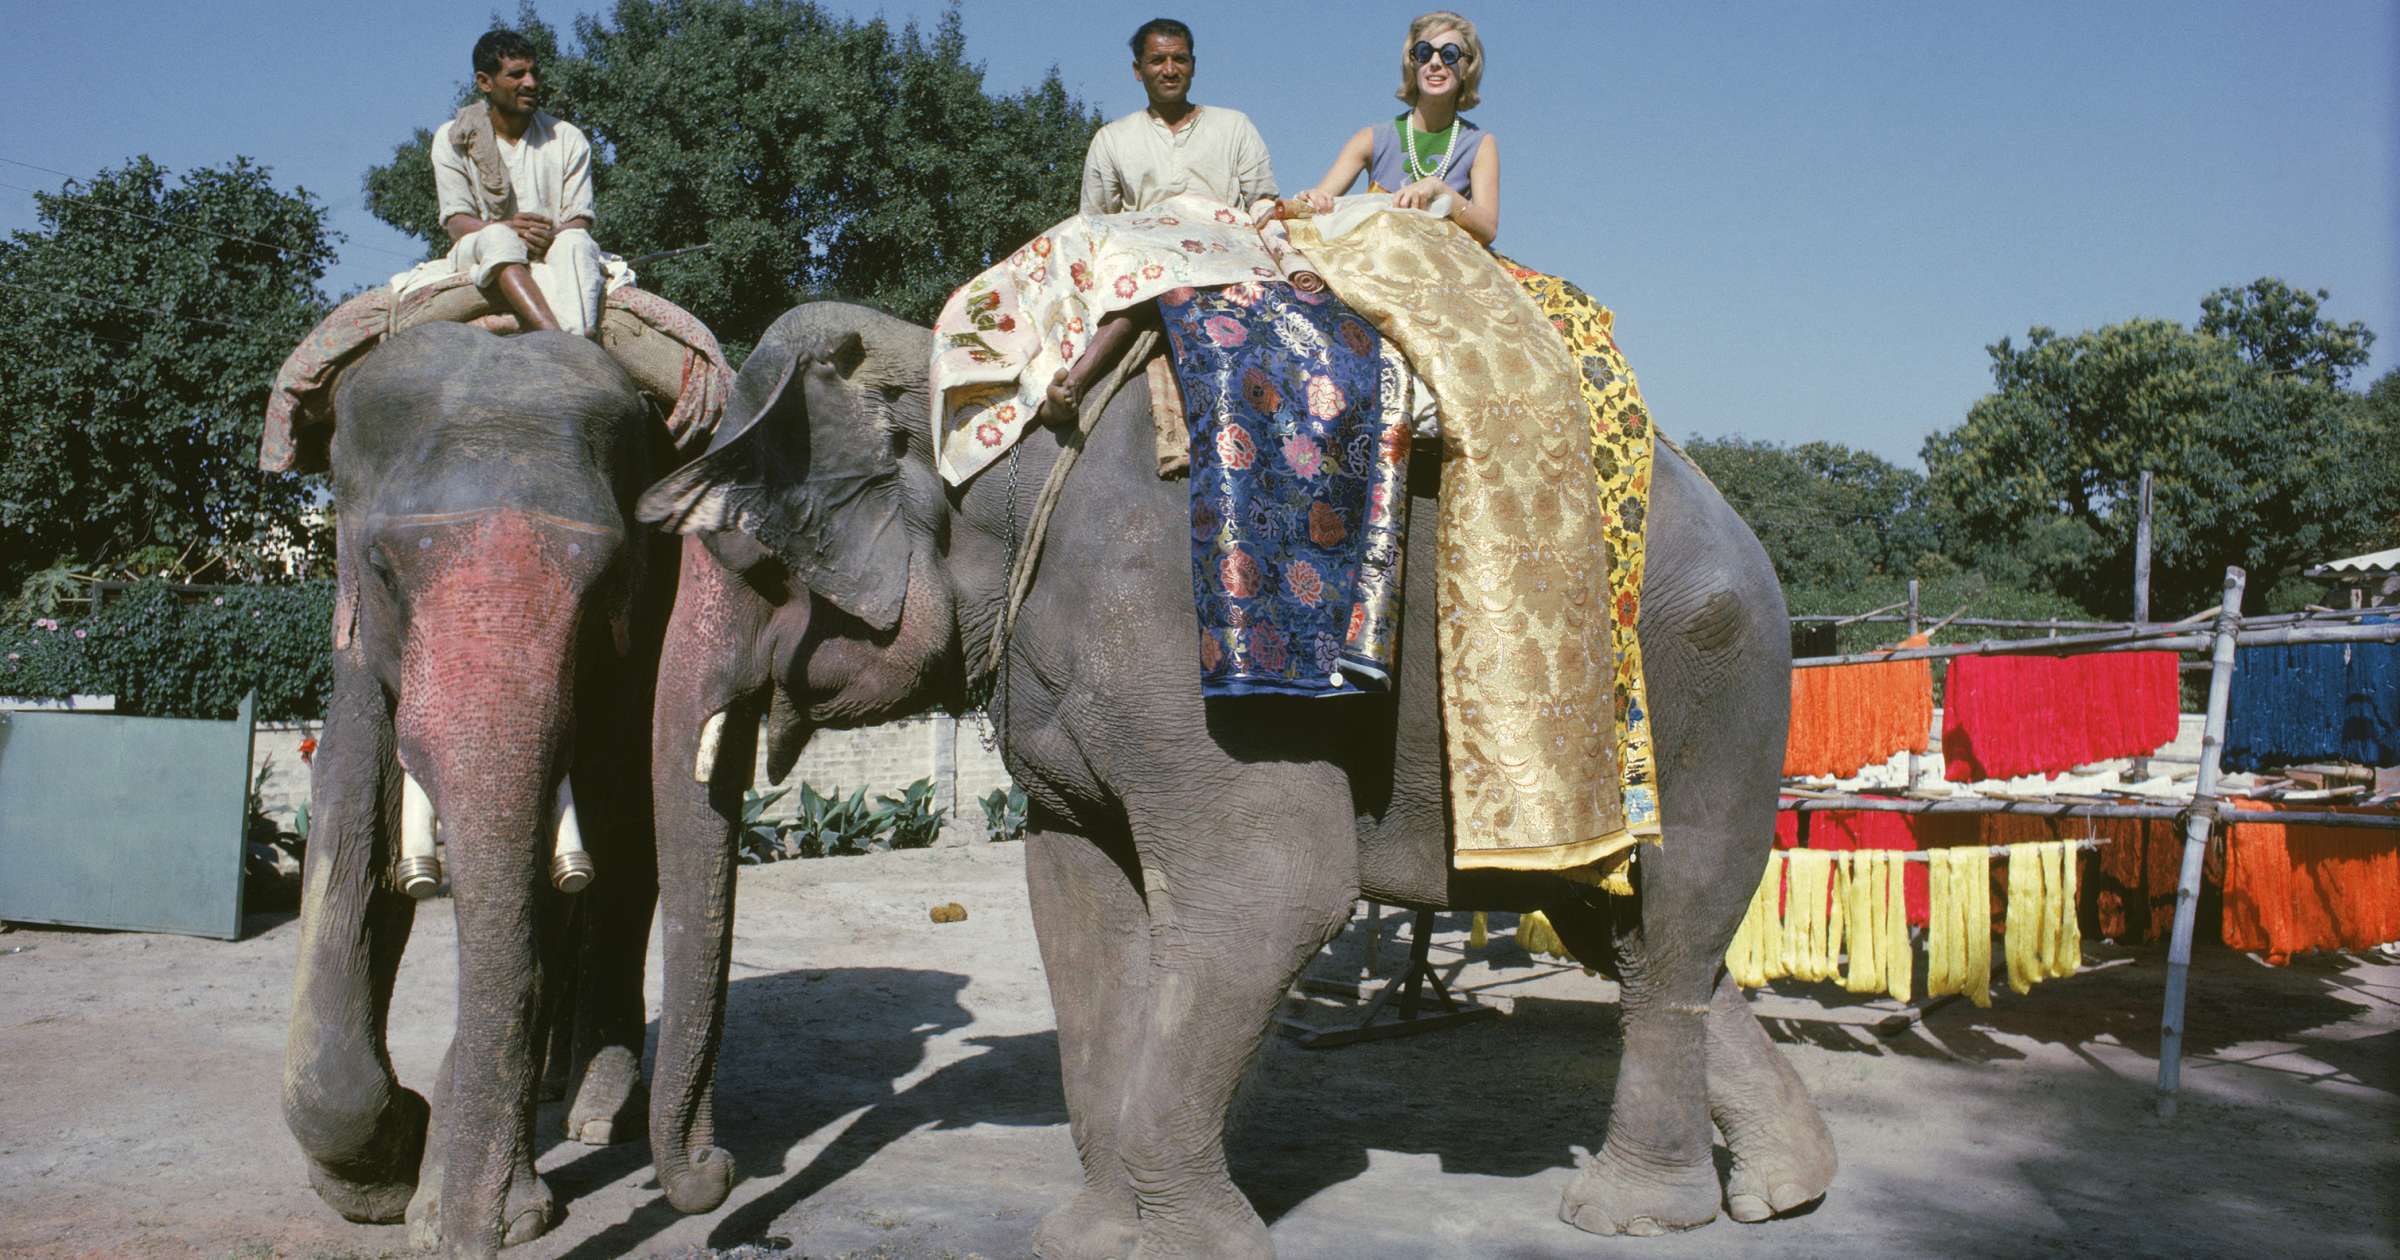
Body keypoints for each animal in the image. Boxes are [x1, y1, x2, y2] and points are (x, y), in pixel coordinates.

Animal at [281, 322, 677, 1257]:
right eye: (384, 570)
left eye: (607, 583)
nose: (473, 1238)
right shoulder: (359, 645)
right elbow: (347, 822)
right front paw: (394, 1171)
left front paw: (445, 1186)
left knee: (625, 853)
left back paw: (596, 1113)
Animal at [634, 301, 1835, 1257]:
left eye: (745, 558)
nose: (720, 1180)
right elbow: (1078, 903)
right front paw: (1088, 1240)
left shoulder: (1184, 635)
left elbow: (1274, 886)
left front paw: (1187, 1246)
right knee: (1615, 931)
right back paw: (1784, 1192)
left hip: (1708, 681)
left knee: (1670, 918)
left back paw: (1637, 1216)